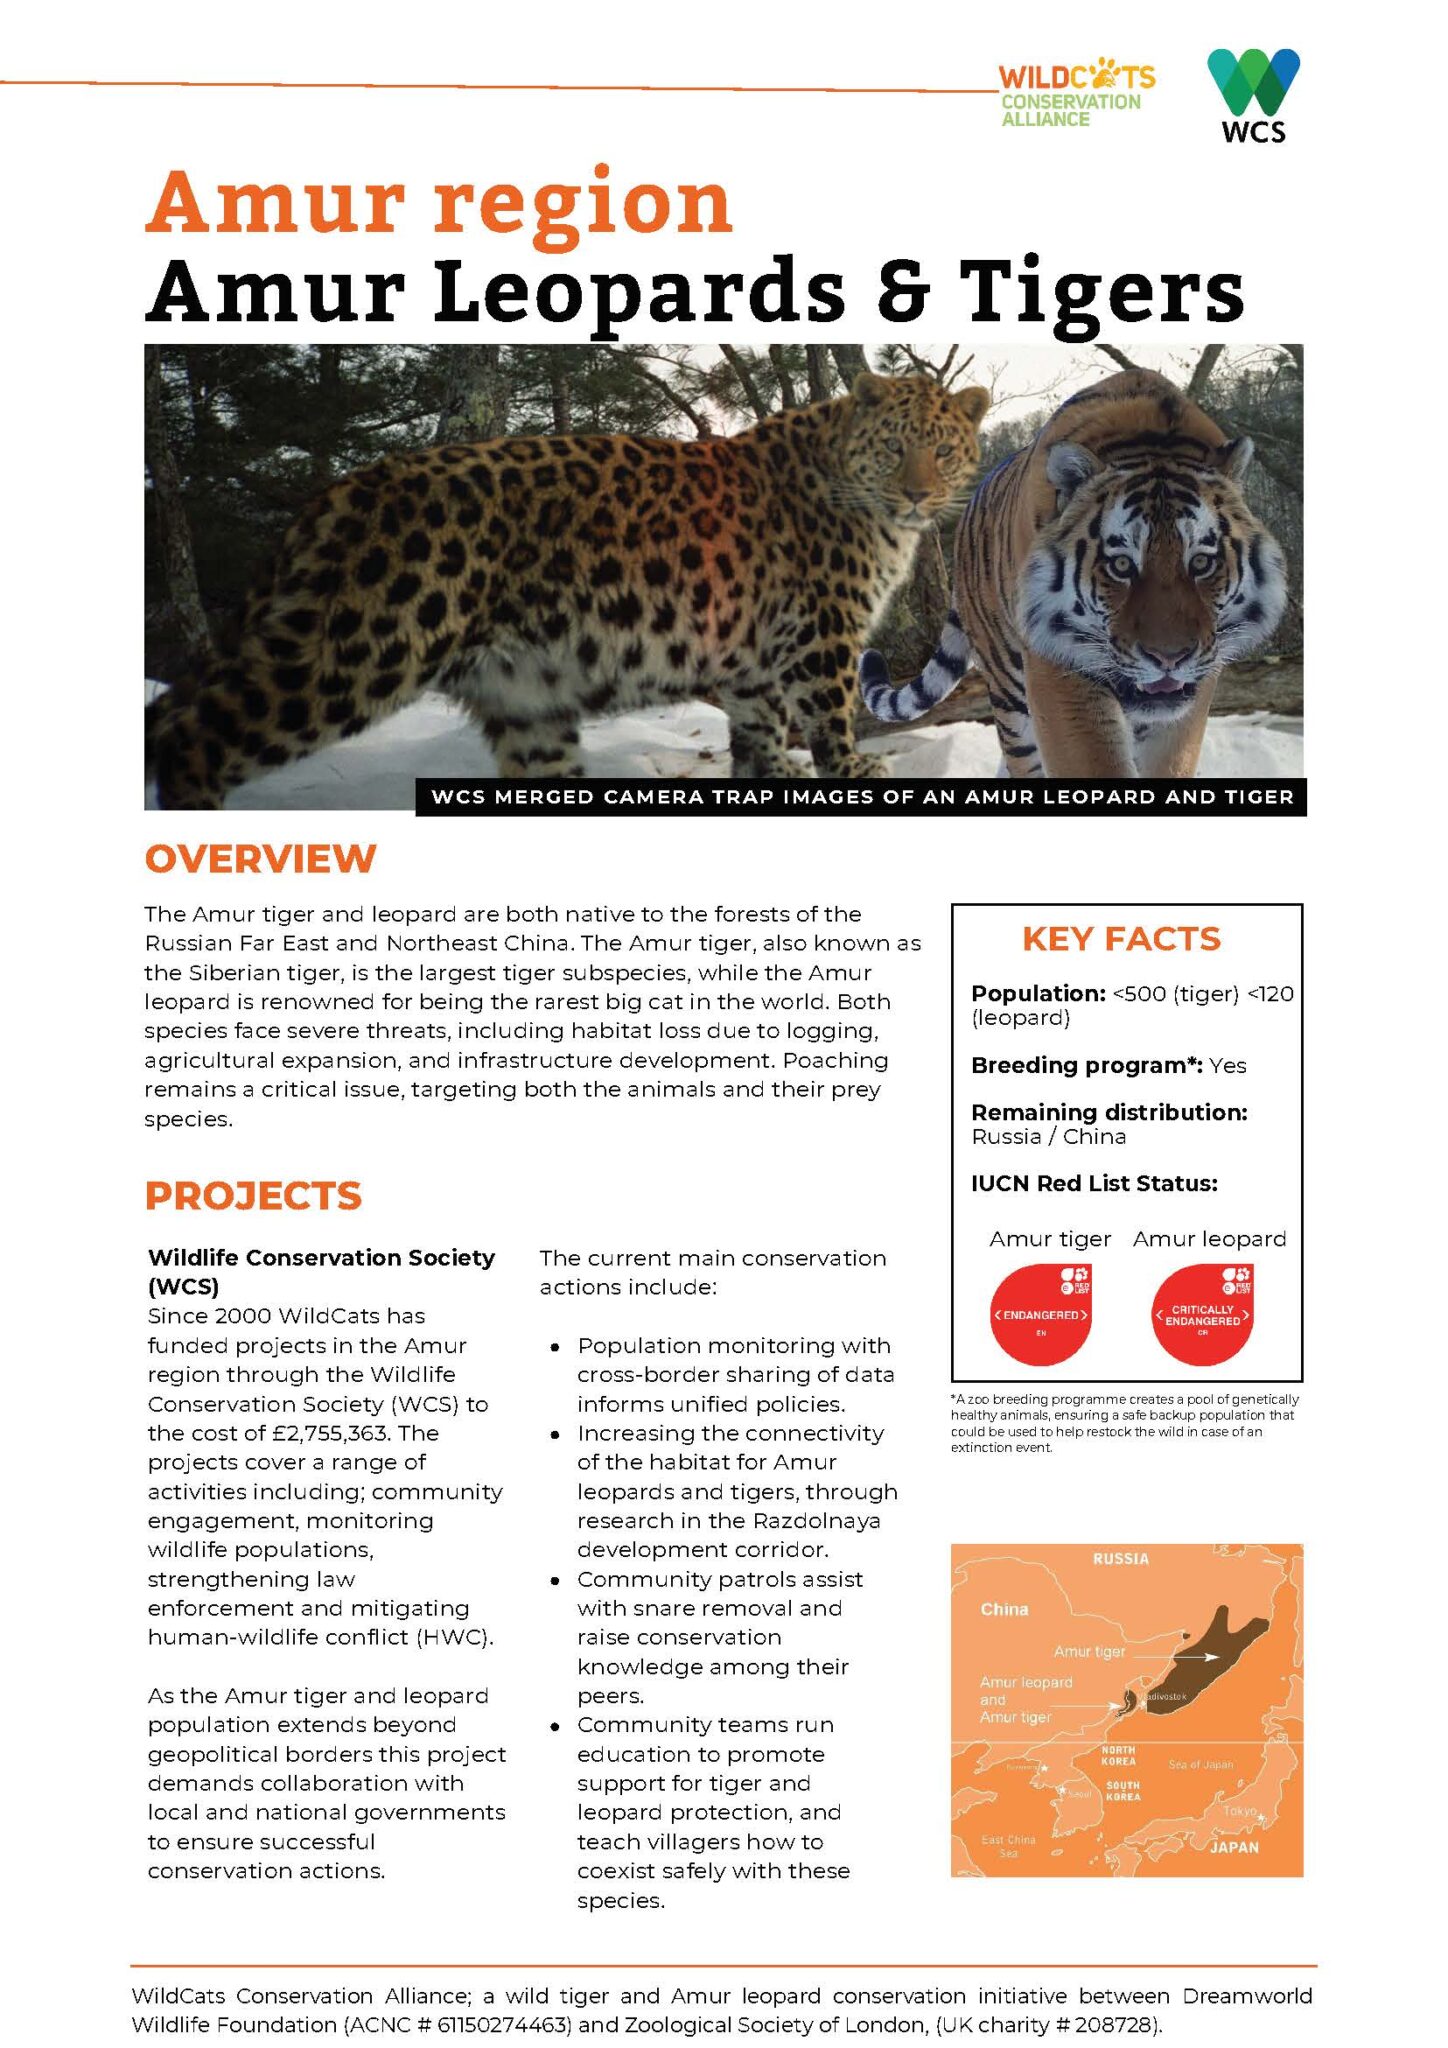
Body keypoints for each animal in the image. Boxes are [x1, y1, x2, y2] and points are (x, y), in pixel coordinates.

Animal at [146, 372, 990, 805]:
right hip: (358, 649)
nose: (919, 495)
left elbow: (759, 733)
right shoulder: (819, 635)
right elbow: (830, 713)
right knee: (191, 733)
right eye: (895, 448)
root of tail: (329, 500)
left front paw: (772, 777)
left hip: (526, 701)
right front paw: (851, 769)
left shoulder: (752, 657)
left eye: (944, 450)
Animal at [857, 369, 1288, 778]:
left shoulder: (1198, 683)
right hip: (1010, 692)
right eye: (1120, 565)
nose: (1170, 658)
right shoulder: (1056, 665)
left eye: (1201, 562)